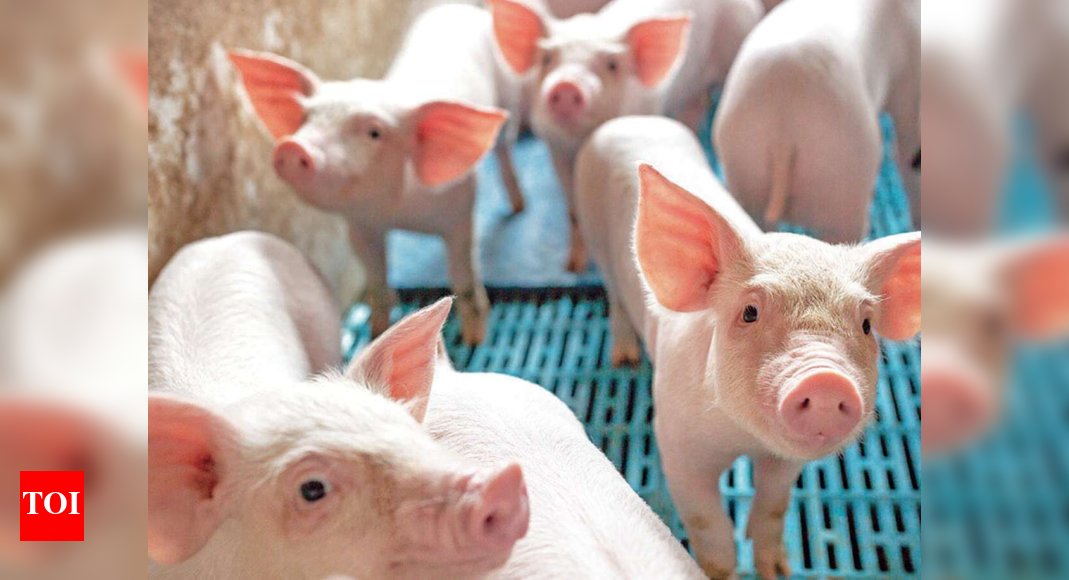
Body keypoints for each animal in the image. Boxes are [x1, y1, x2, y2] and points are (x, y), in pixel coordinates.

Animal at [229, 4, 520, 345]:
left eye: (374, 133)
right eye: (306, 117)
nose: (292, 146)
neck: (396, 212)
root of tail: (461, 7)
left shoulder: (461, 210)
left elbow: (463, 277)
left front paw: (475, 341)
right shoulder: (361, 226)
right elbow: (377, 283)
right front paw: (376, 333)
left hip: (508, 100)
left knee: (505, 149)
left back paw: (518, 207)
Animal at [487, 0, 763, 271]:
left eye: (612, 64)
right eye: (546, 58)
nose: (567, 85)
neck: (579, 141)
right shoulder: (556, 148)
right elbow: (573, 212)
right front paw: (572, 267)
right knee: (697, 106)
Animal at [575, 116, 921, 579]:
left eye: (866, 324)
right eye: (750, 312)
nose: (826, 379)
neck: (741, 438)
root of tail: (629, 120)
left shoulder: (785, 461)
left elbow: (772, 507)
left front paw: (779, 570)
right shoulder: (677, 445)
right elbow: (712, 530)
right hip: (594, 234)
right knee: (613, 294)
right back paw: (625, 357)